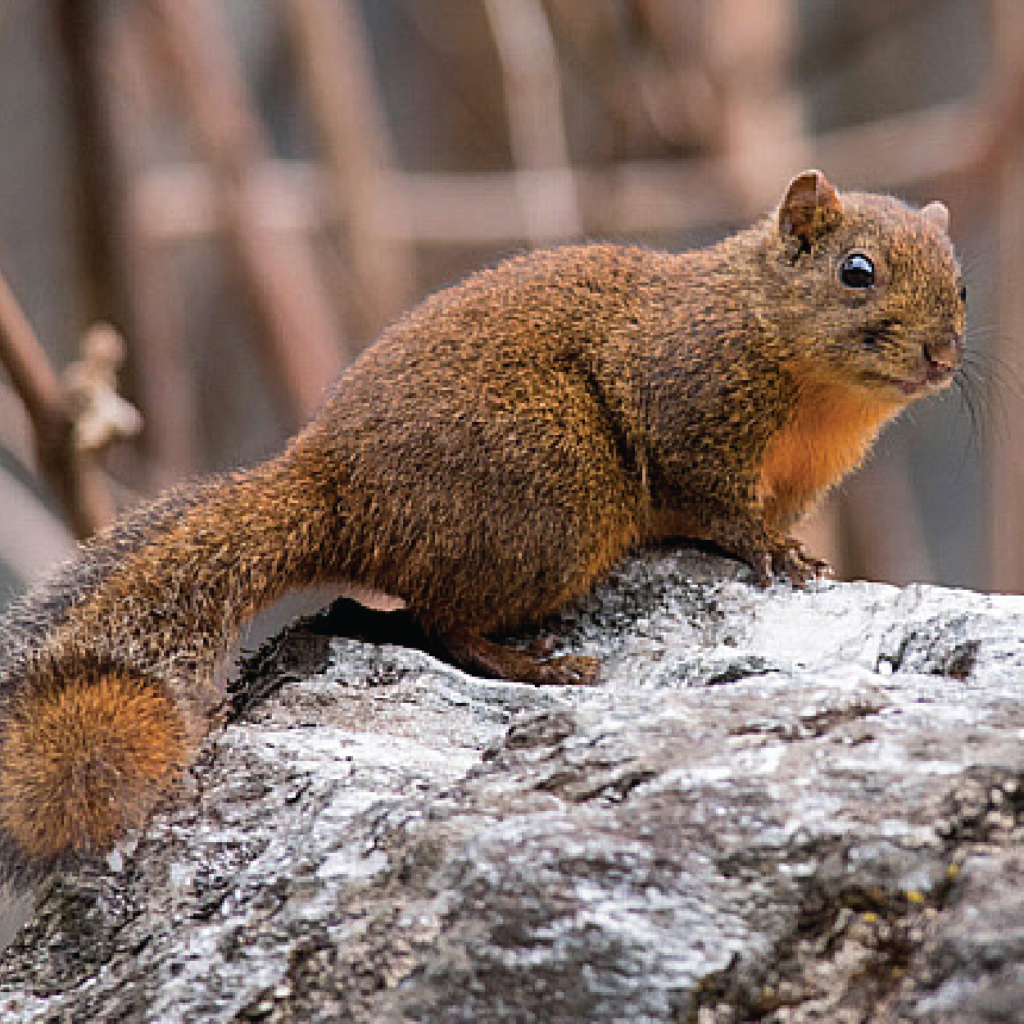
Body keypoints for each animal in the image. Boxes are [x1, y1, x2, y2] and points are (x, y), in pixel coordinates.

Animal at [0, 170, 964, 884]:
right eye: (856, 271)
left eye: (960, 282)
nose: (942, 356)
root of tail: (336, 485)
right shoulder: (688, 405)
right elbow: (715, 503)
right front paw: (767, 549)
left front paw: (801, 550)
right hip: (557, 495)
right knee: (440, 621)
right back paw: (537, 666)